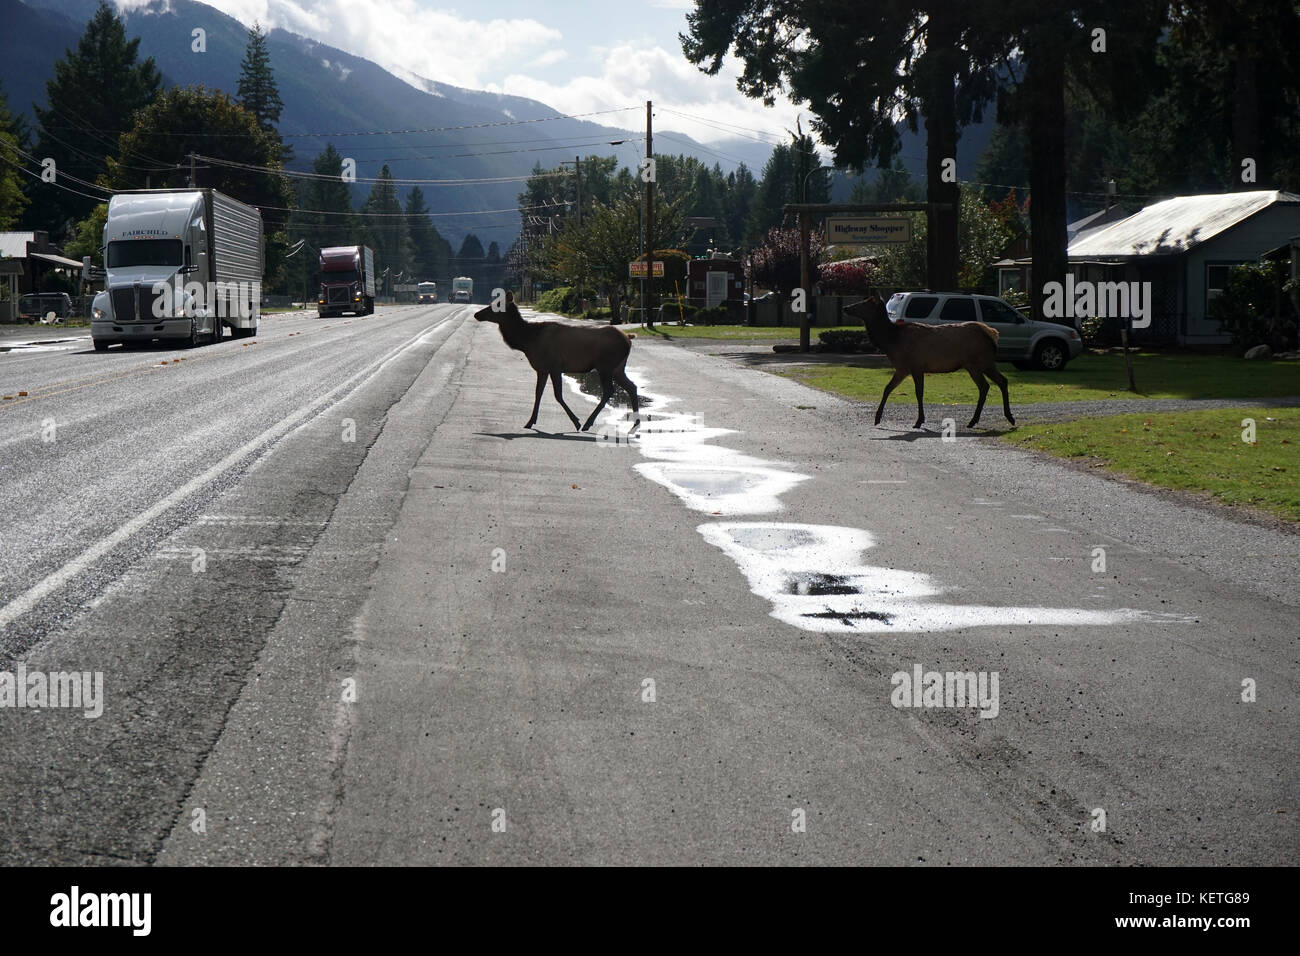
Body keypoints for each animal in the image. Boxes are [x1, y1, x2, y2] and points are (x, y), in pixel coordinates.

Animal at [474, 291, 640, 432]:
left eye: (496, 305)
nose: (476, 314)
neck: (528, 341)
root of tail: (628, 339)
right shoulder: (542, 369)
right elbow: (538, 393)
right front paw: (530, 421)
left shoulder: (554, 366)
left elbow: (557, 395)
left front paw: (576, 421)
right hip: (618, 368)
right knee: (632, 386)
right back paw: (636, 423)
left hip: (605, 365)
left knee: (609, 391)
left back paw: (588, 423)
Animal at [844, 295, 1015, 429]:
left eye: (864, 303)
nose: (846, 307)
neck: (892, 342)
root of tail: (992, 334)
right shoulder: (902, 369)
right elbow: (887, 388)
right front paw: (877, 418)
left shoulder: (916, 365)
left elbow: (918, 392)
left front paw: (919, 421)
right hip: (973, 365)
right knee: (986, 386)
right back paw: (974, 421)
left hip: (982, 361)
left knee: (1000, 381)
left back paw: (1009, 417)